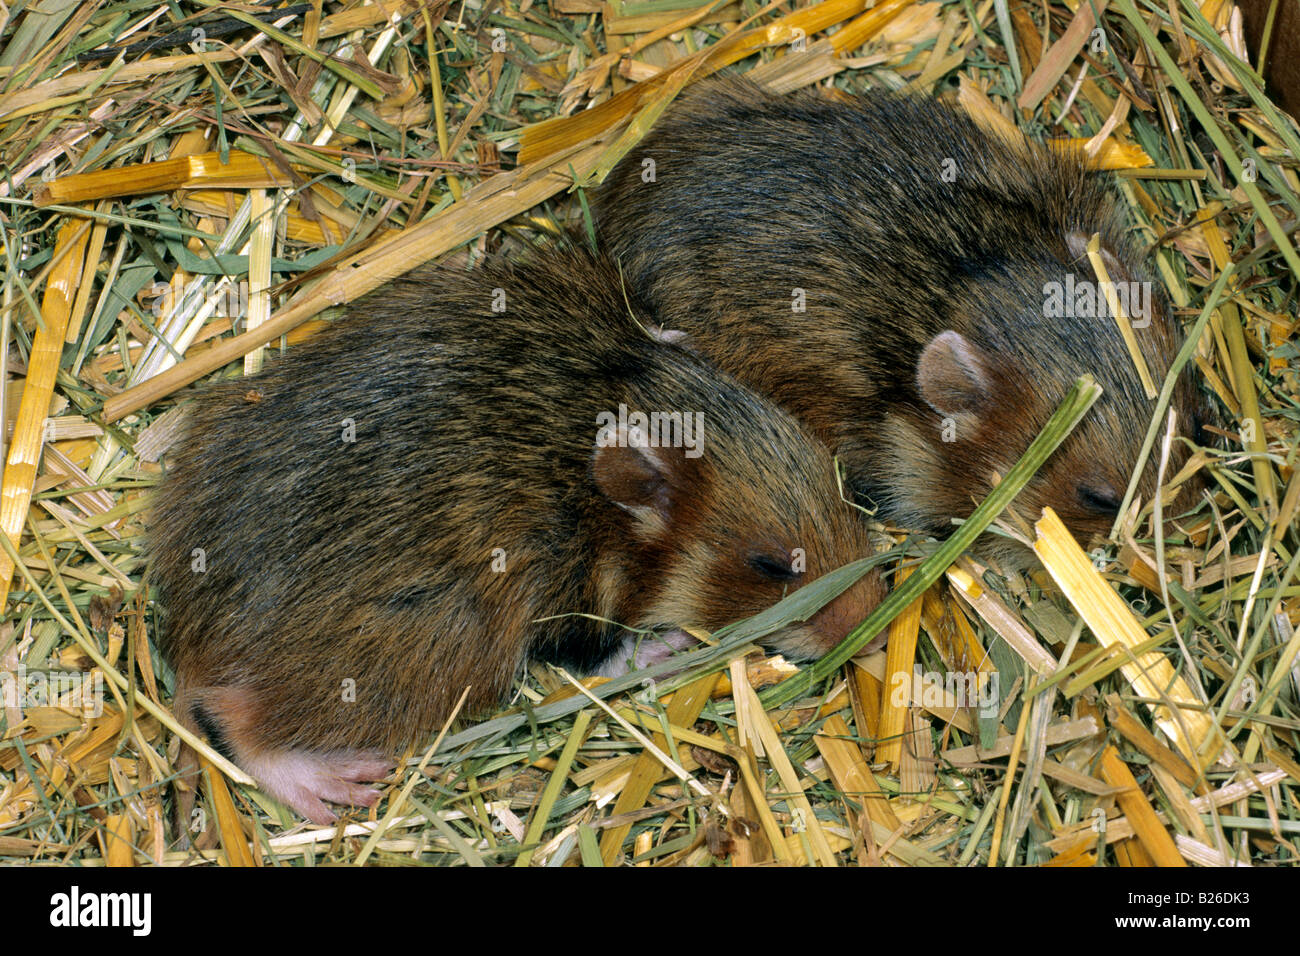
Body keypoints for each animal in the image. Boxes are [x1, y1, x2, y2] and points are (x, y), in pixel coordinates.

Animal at [149, 243, 884, 825]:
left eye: (843, 486)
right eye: (771, 565)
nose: (875, 634)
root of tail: (186, 636)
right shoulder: (563, 601)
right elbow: (600, 659)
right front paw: (668, 646)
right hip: (438, 648)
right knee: (239, 722)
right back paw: (333, 786)